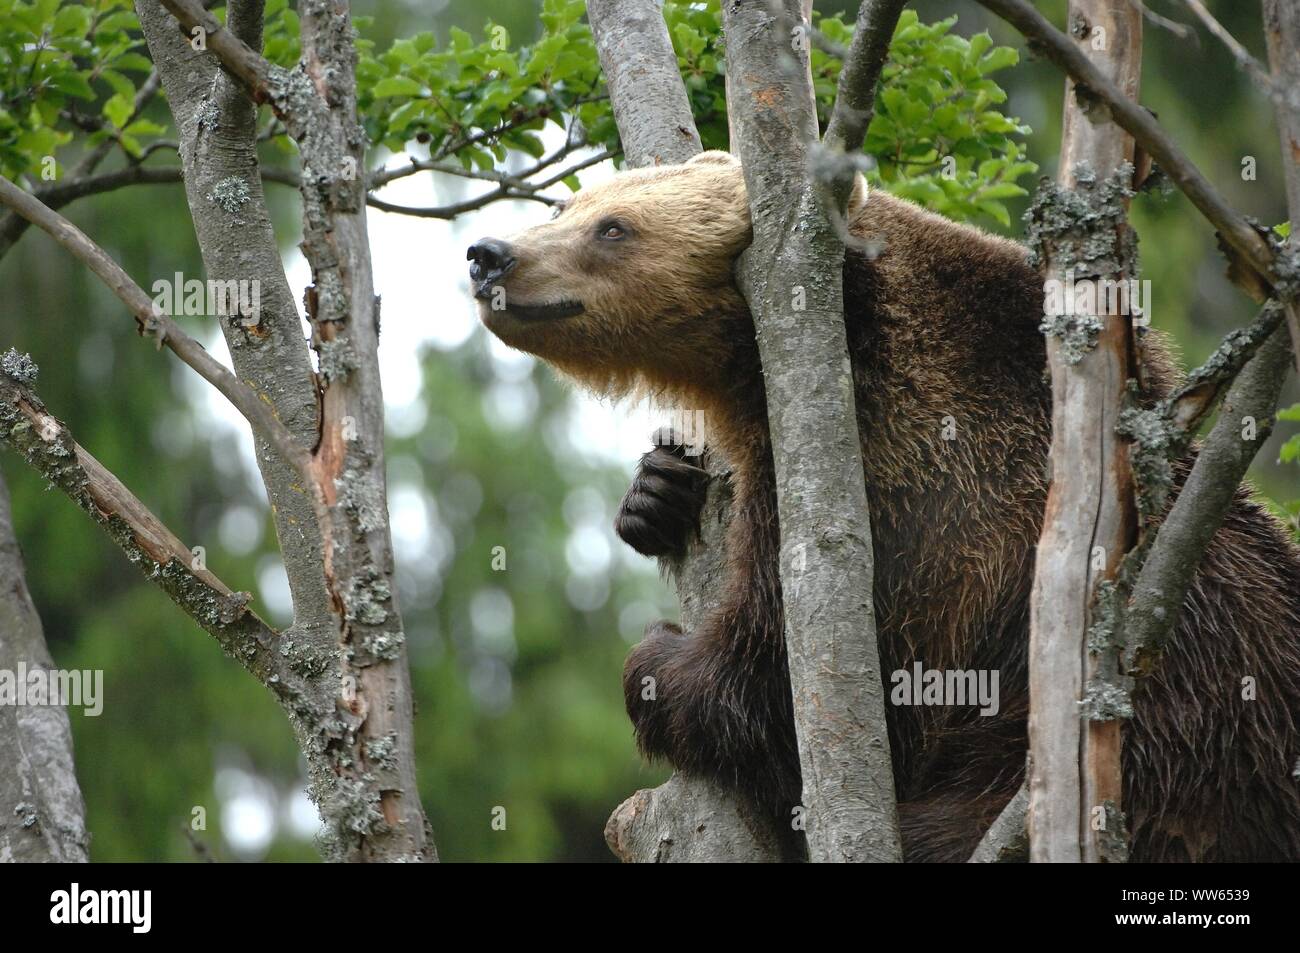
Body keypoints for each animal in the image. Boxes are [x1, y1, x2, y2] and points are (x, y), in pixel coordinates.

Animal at [467, 150, 1300, 862]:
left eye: (614, 227)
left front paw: (659, 660)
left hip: (1172, 754)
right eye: (569, 203)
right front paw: (659, 488)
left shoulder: (921, 495)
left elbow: (789, 663)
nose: (488, 254)